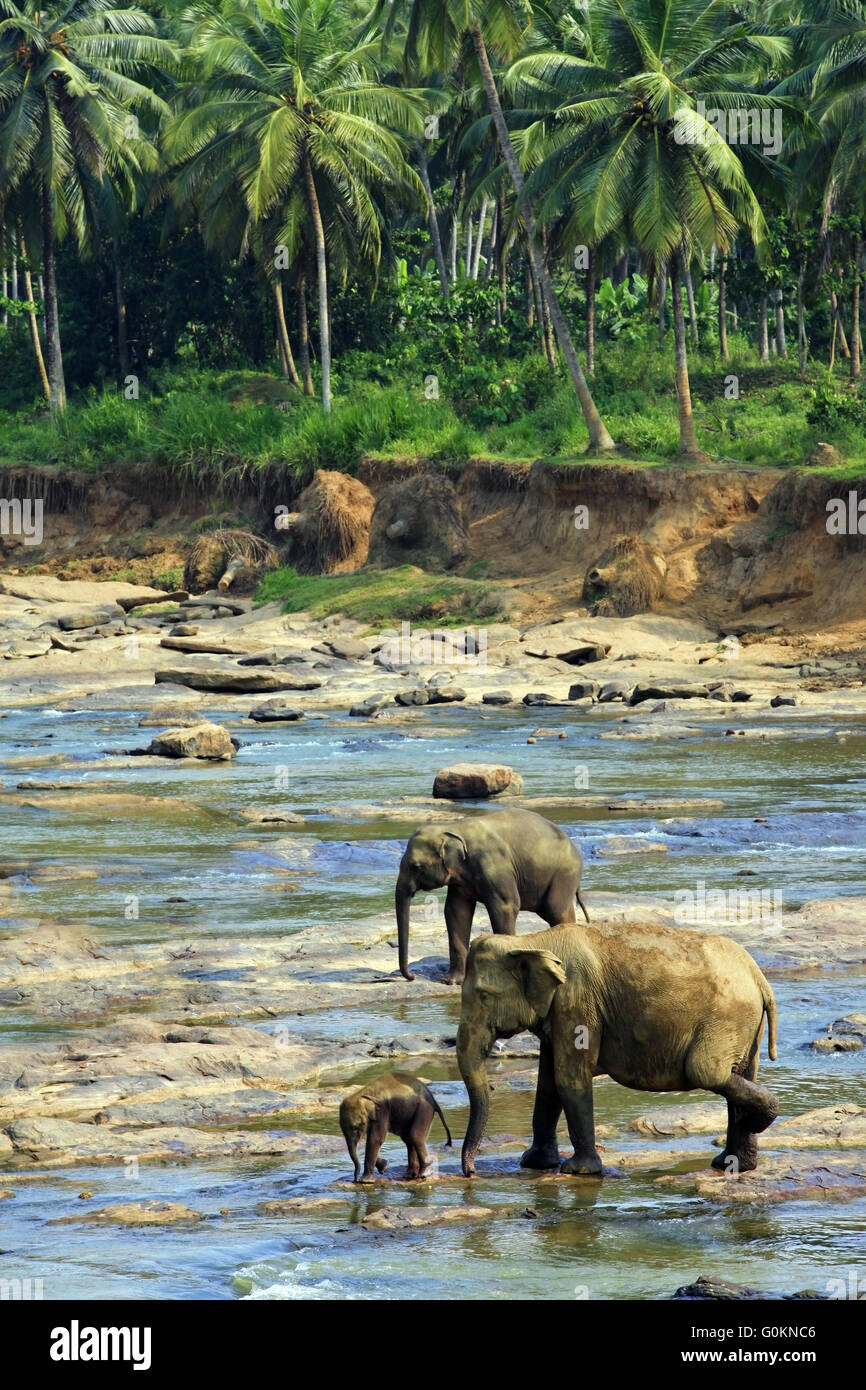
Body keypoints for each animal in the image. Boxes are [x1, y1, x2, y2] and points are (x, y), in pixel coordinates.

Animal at [395, 808, 589, 986]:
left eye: (416, 866)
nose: (412, 976)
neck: (452, 828)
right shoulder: (459, 879)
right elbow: (456, 911)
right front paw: (452, 981)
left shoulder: (495, 866)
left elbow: (505, 906)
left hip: (564, 874)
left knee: (556, 910)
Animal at [456, 921, 779, 1179]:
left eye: (484, 996)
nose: (471, 1173)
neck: (532, 941)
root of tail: (758, 976)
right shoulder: (559, 1012)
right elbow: (547, 1083)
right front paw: (535, 1163)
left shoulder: (577, 1002)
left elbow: (568, 1078)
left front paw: (578, 1170)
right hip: (745, 1023)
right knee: (740, 1073)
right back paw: (733, 1162)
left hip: (727, 1018)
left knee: (705, 1071)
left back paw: (762, 1117)